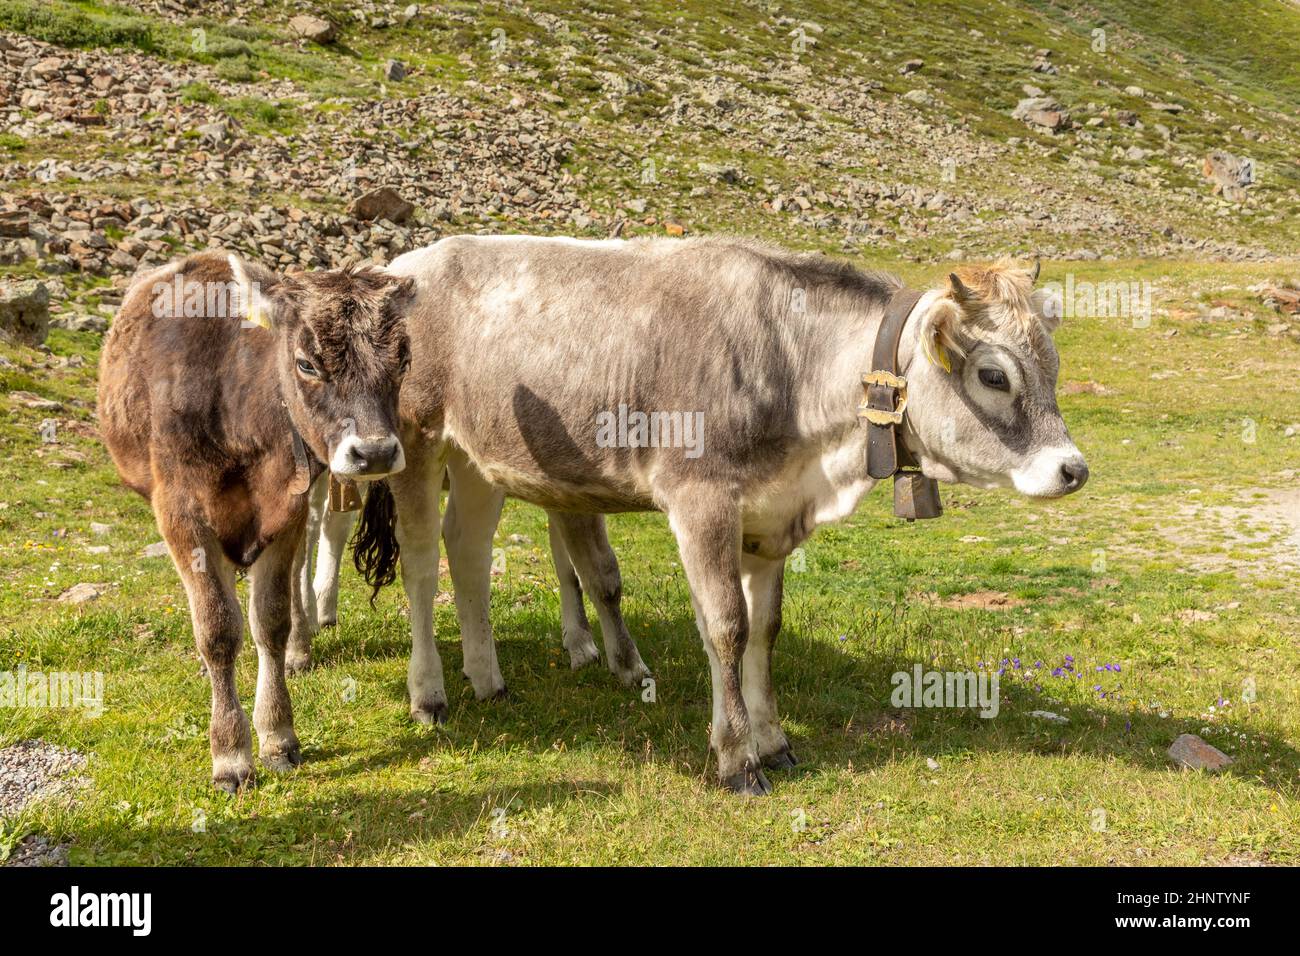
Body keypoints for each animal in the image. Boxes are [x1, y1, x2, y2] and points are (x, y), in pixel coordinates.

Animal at [98, 250, 412, 792]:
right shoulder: (180, 513)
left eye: (404, 357)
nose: (373, 452)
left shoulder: (287, 508)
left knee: (304, 564)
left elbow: (270, 620)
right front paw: (230, 753)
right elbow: (218, 629)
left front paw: (277, 734)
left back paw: (302, 647)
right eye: (307, 363)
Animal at [354, 234, 1089, 796]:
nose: (1073, 469)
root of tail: (414, 258)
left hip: (480, 458)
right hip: (415, 441)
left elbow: (766, 629)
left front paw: (774, 740)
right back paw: (430, 694)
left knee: (468, 552)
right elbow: (726, 627)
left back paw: (488, 679)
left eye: (1053, 365)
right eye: (993, 376)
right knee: (422, 565)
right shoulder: (701, 500)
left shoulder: (770, 516)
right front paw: (736, 758)